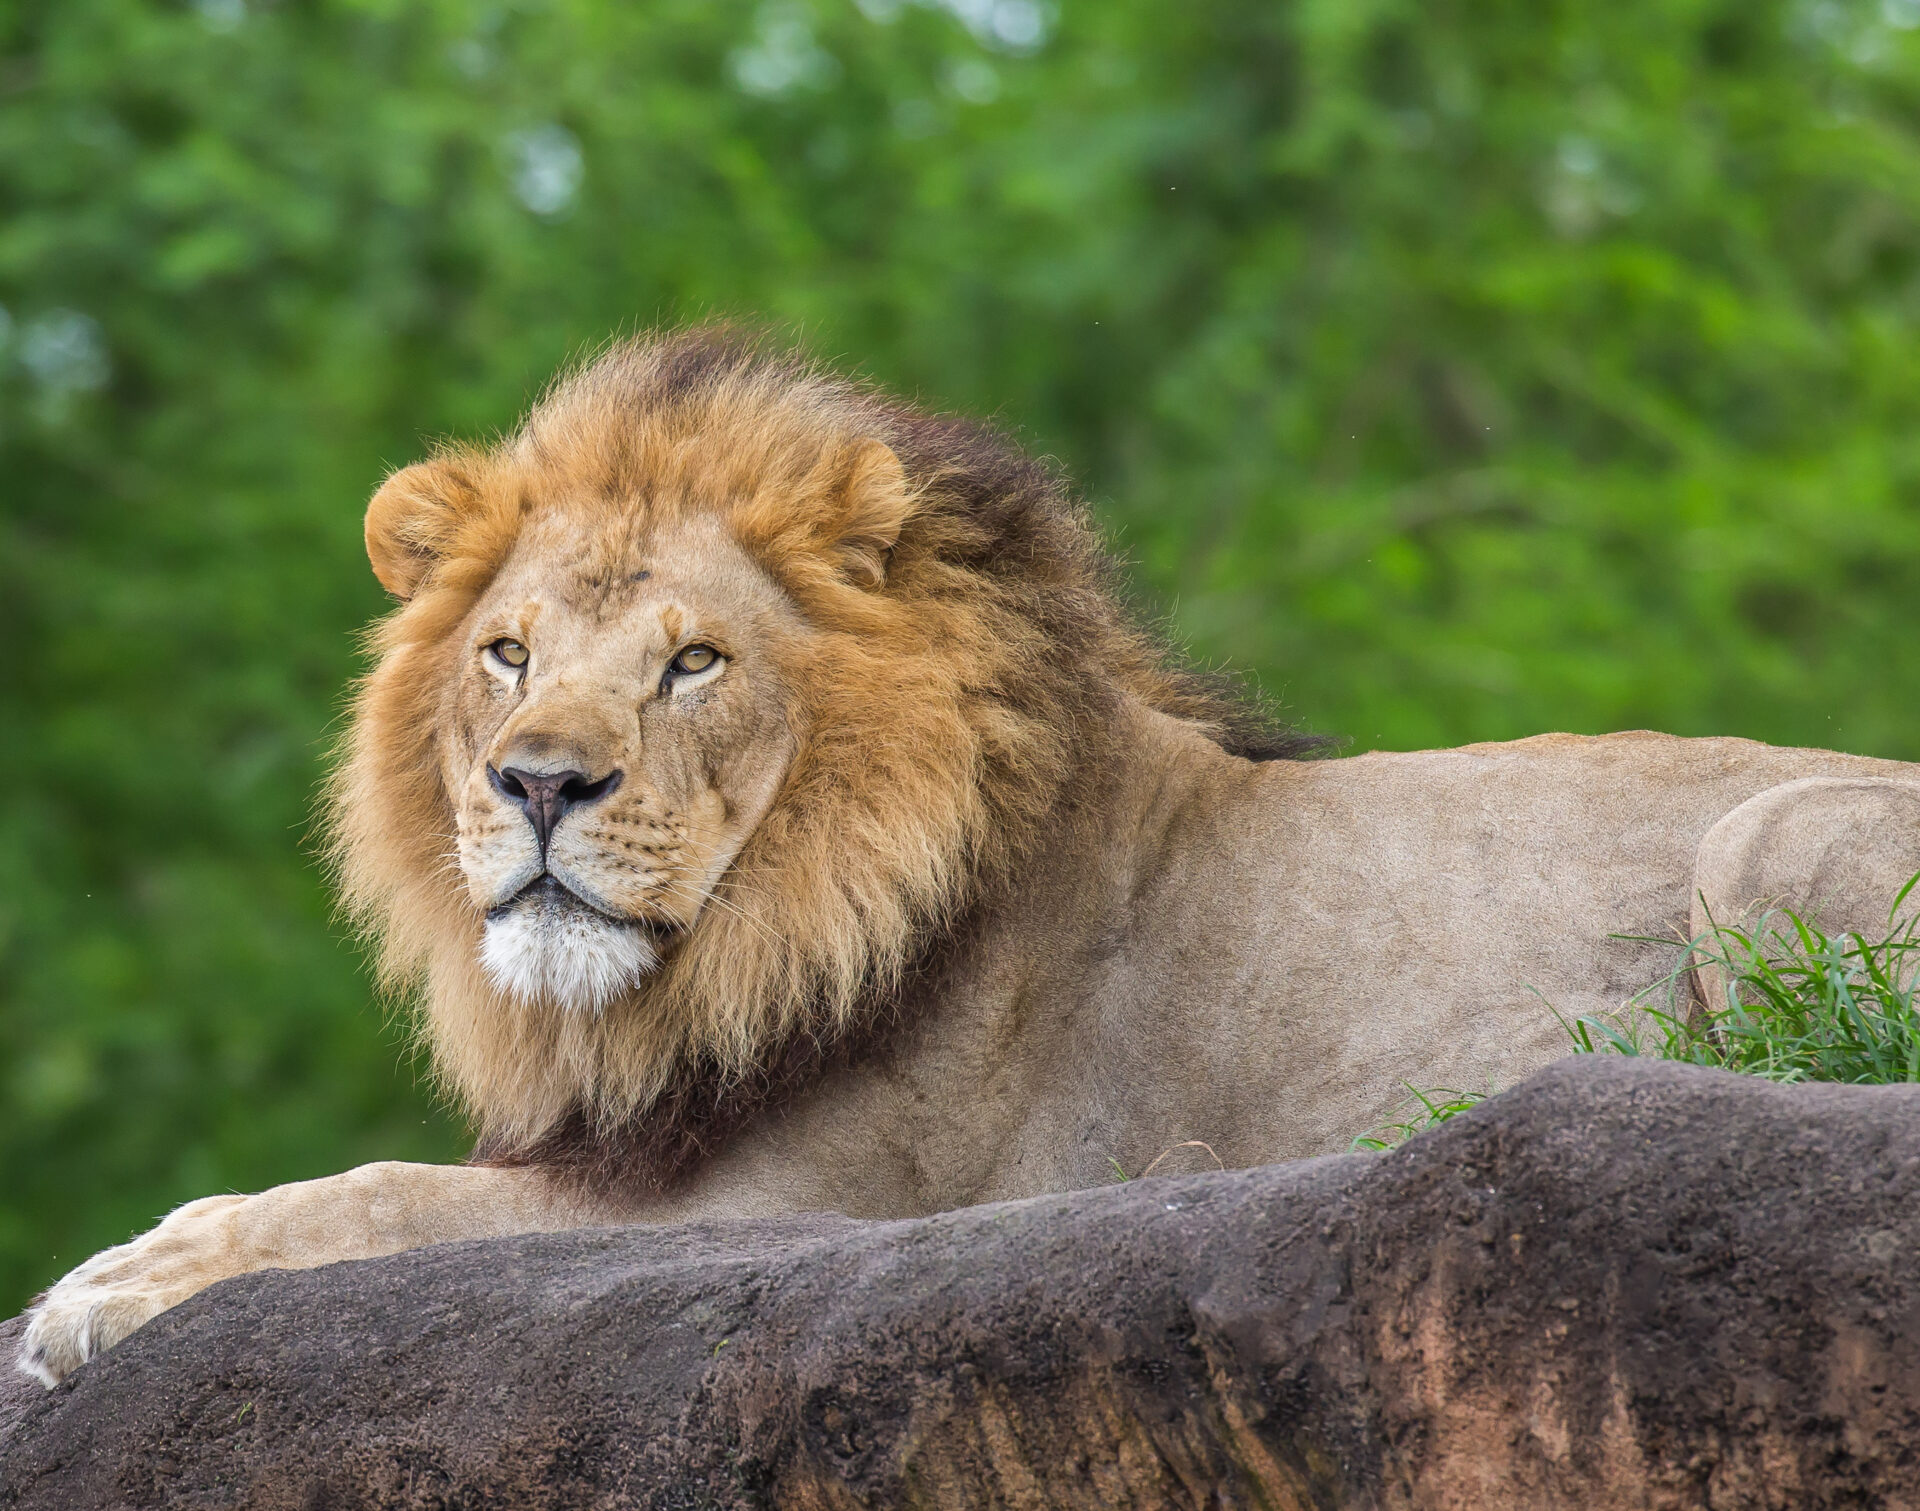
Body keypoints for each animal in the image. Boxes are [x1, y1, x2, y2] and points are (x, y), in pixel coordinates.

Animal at [21, 327, 1920, 1387]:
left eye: (692, 660)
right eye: (505, 651)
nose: (537, 783)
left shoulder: (799, 1200)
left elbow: (388, 1201)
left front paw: (104, 1290)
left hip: (1757, 836)